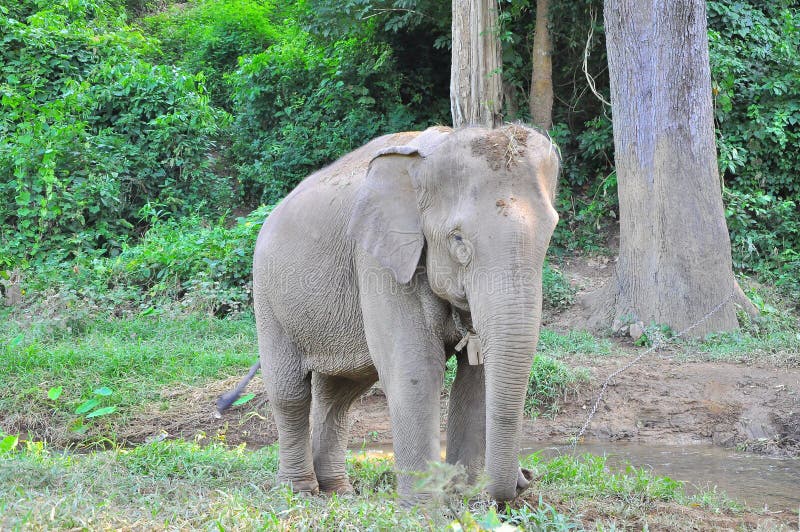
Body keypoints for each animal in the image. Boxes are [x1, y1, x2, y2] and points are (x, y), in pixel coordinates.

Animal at [247, 124, 559, 502]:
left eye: (550, 234)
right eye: (458, 240)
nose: (525, 477)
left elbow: (477, 374)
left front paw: (465, 497)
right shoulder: (378, 260)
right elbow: (416, 368)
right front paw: (425, 506)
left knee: (339, 393)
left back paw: (337, 491)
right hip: (268, 296)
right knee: (290, 391)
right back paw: (301, 491)